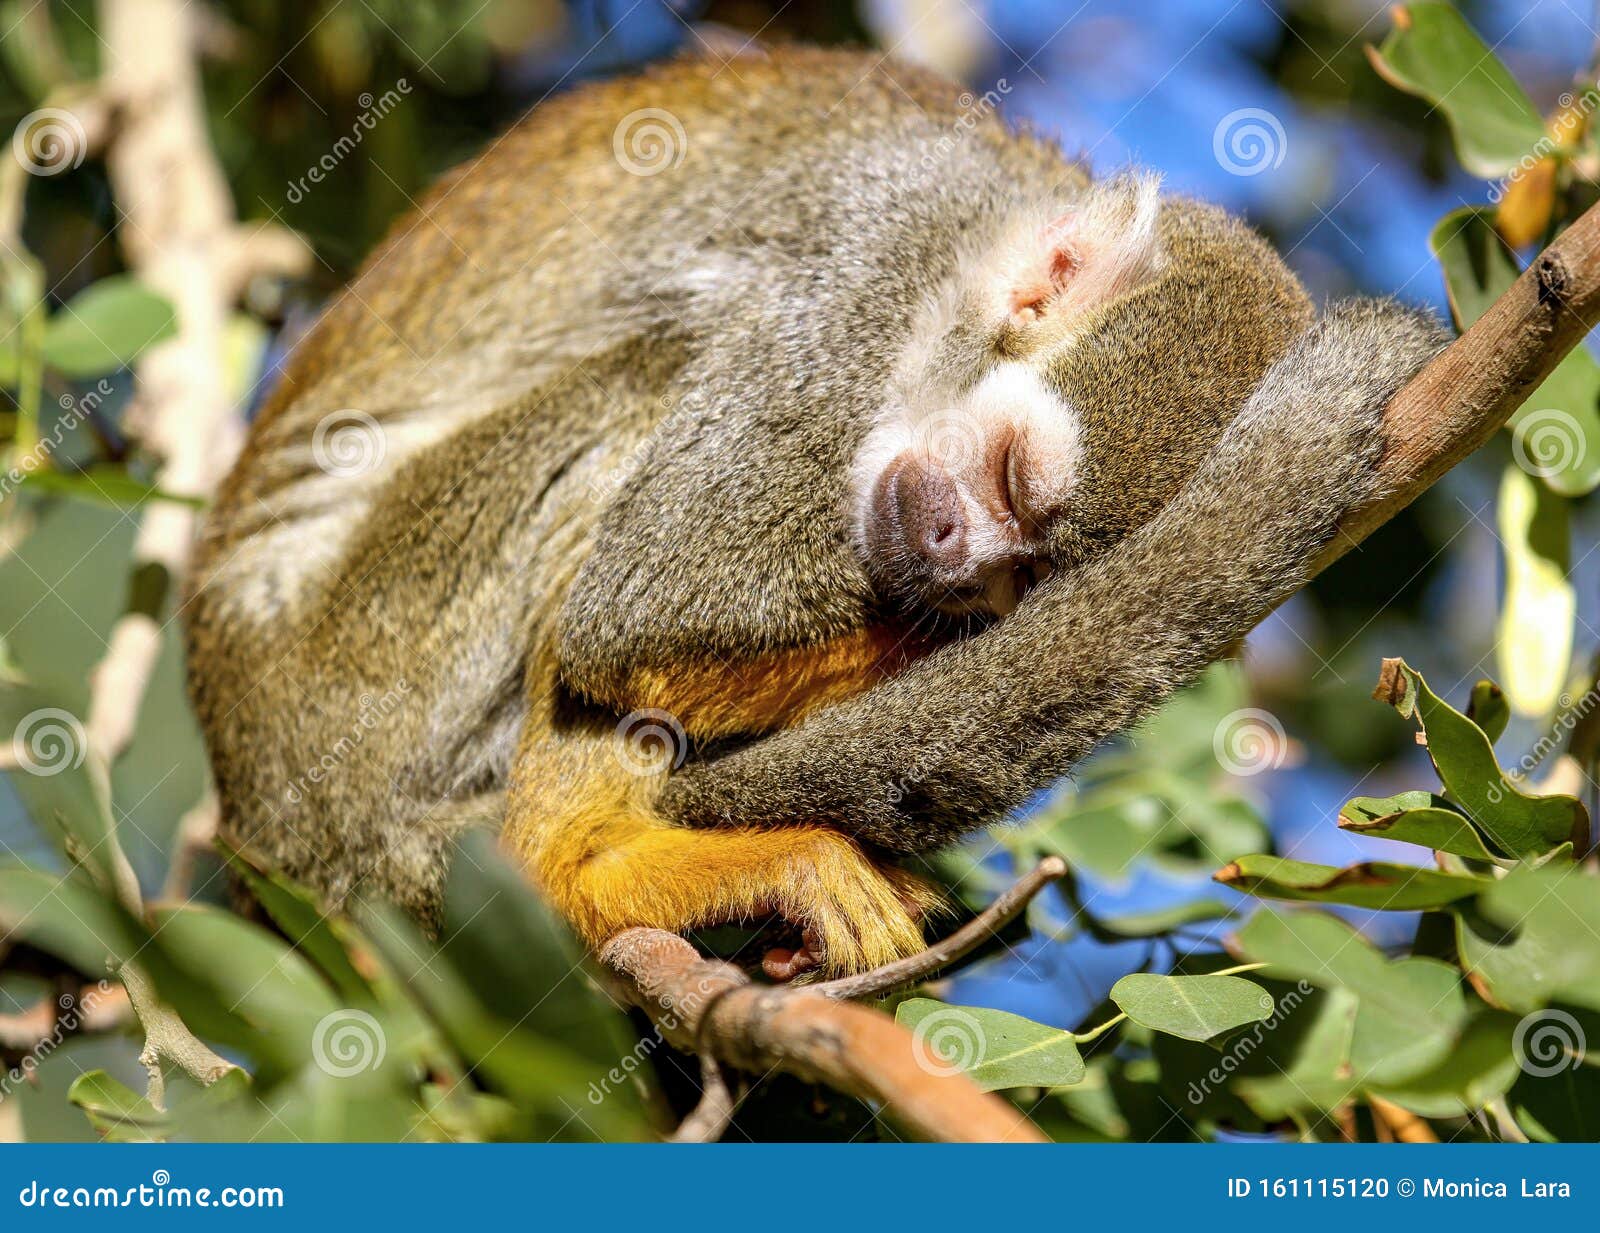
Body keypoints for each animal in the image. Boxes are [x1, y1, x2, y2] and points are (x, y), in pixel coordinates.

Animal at [184, 48, 1444, 981]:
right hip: (360, 682)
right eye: (1006, 477)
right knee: (643, 394)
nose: (958, 563)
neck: (980, 236)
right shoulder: (861, 286)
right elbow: (640, 619)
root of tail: (268, 833)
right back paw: (581, 871)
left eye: (1033, 572)